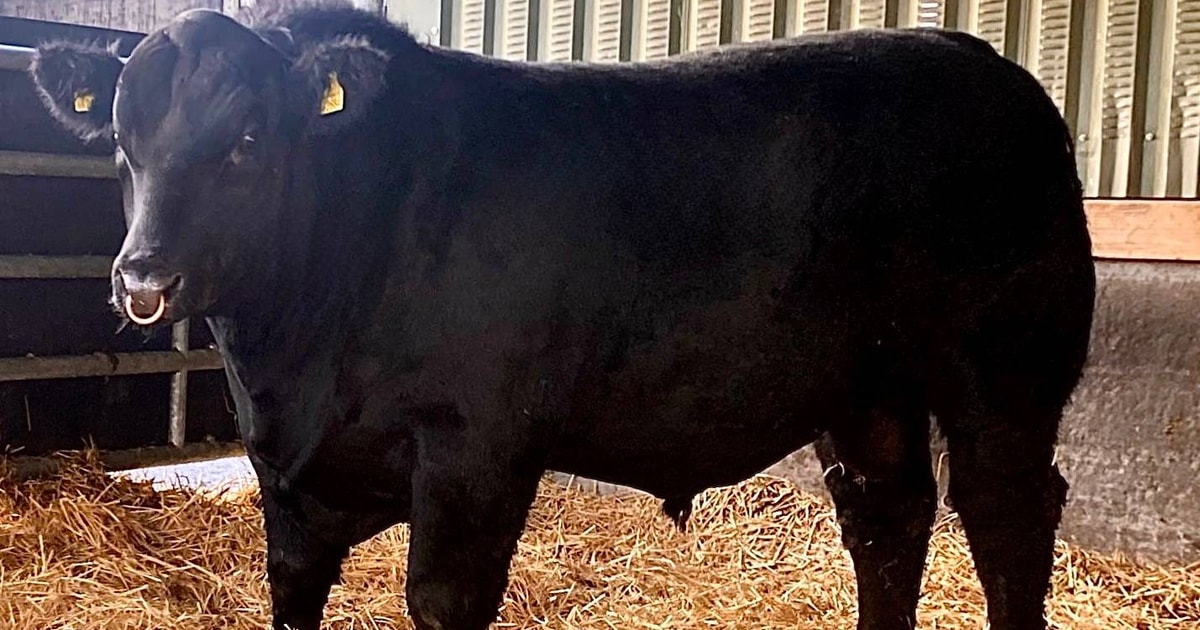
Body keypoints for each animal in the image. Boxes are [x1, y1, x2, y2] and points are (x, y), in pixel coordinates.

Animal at [28, 2, 1095, 629]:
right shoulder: (287, 477)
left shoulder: (475, 453)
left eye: (249, 139)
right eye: (120, 141)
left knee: (1005, 515)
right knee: (888, 518)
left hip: (1006, 370)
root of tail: (979, 59)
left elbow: (442, 599)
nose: (143, 279)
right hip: (868, 388)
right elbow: (290, 592)